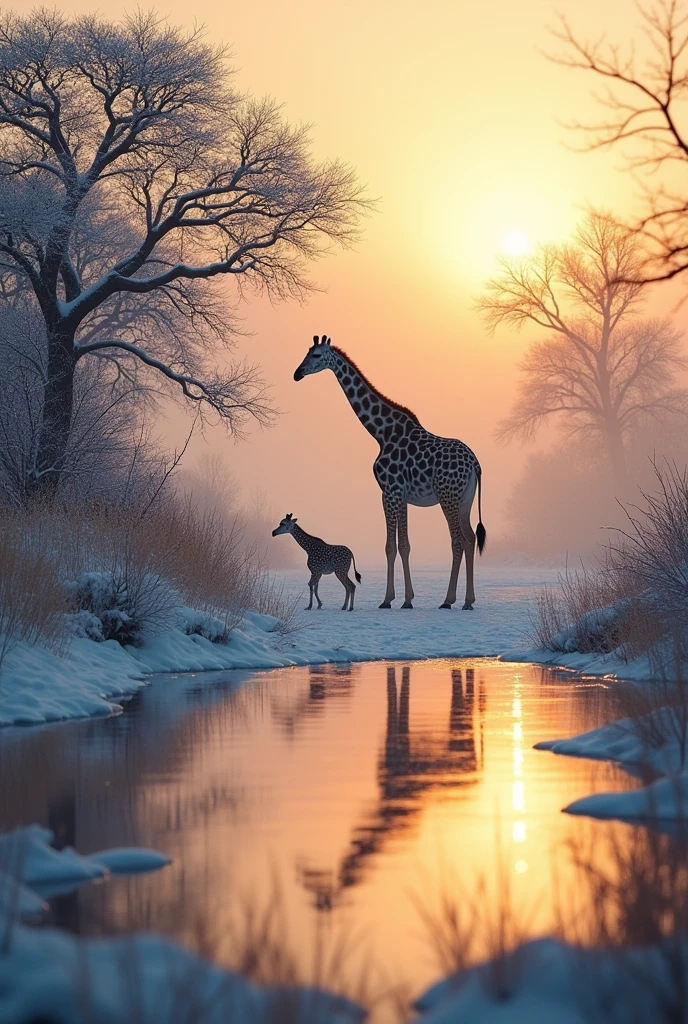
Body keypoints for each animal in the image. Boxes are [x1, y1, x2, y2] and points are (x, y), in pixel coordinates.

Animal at [294, 335, 486, 610]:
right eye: (307, 352)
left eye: (317, 355)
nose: (297, 374)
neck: (381, 433)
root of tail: (475, 463)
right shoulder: (399, 495)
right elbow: (400, 545)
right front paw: (402, 598)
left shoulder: (390, 491)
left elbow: (394, 546)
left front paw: (393, 600)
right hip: (465, 499)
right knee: (470, 539)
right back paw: (468, 601)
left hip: (448, 496)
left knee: (457, 541)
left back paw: (449, 600)